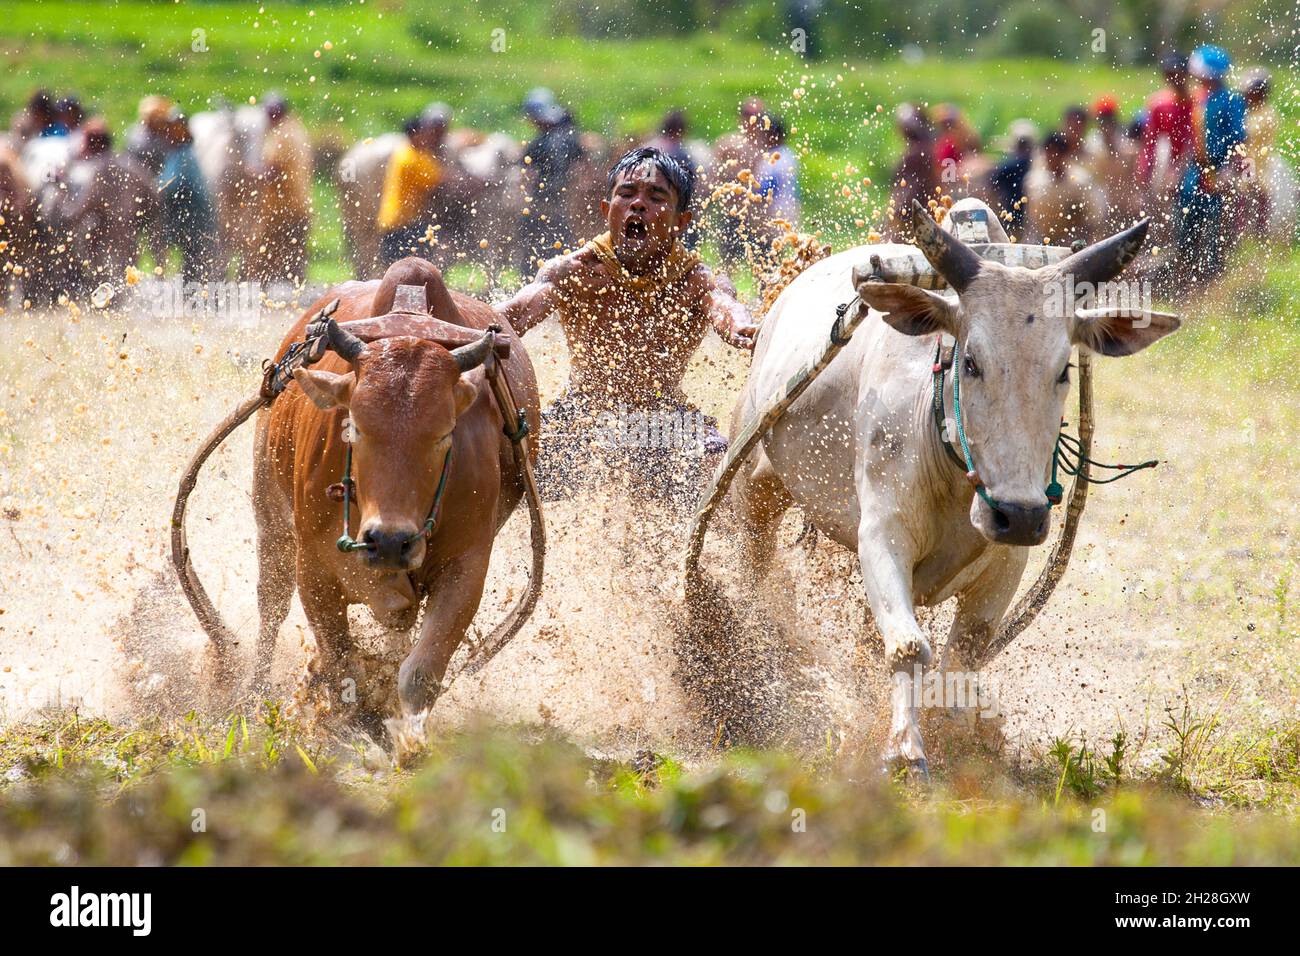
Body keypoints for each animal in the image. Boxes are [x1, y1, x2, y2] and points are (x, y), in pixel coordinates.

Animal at [252, 257, 539, 722]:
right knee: (270, 606)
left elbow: (419, 673)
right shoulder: (312, 568)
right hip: (270, 521)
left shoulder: (467, 565)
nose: (389, 540)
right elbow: (342, 666)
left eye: (444, 435)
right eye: (354, 426)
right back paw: (252, 691)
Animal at [728, 199, 1180, 774]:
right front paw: (904, 749)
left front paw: (962, 739)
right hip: (755, 488)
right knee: (753, 567)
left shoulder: (1007, 563)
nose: (1019, 515)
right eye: (970, 361)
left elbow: (960, 661)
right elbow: (907, 648)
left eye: (1062, 371)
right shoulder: (882, 536)